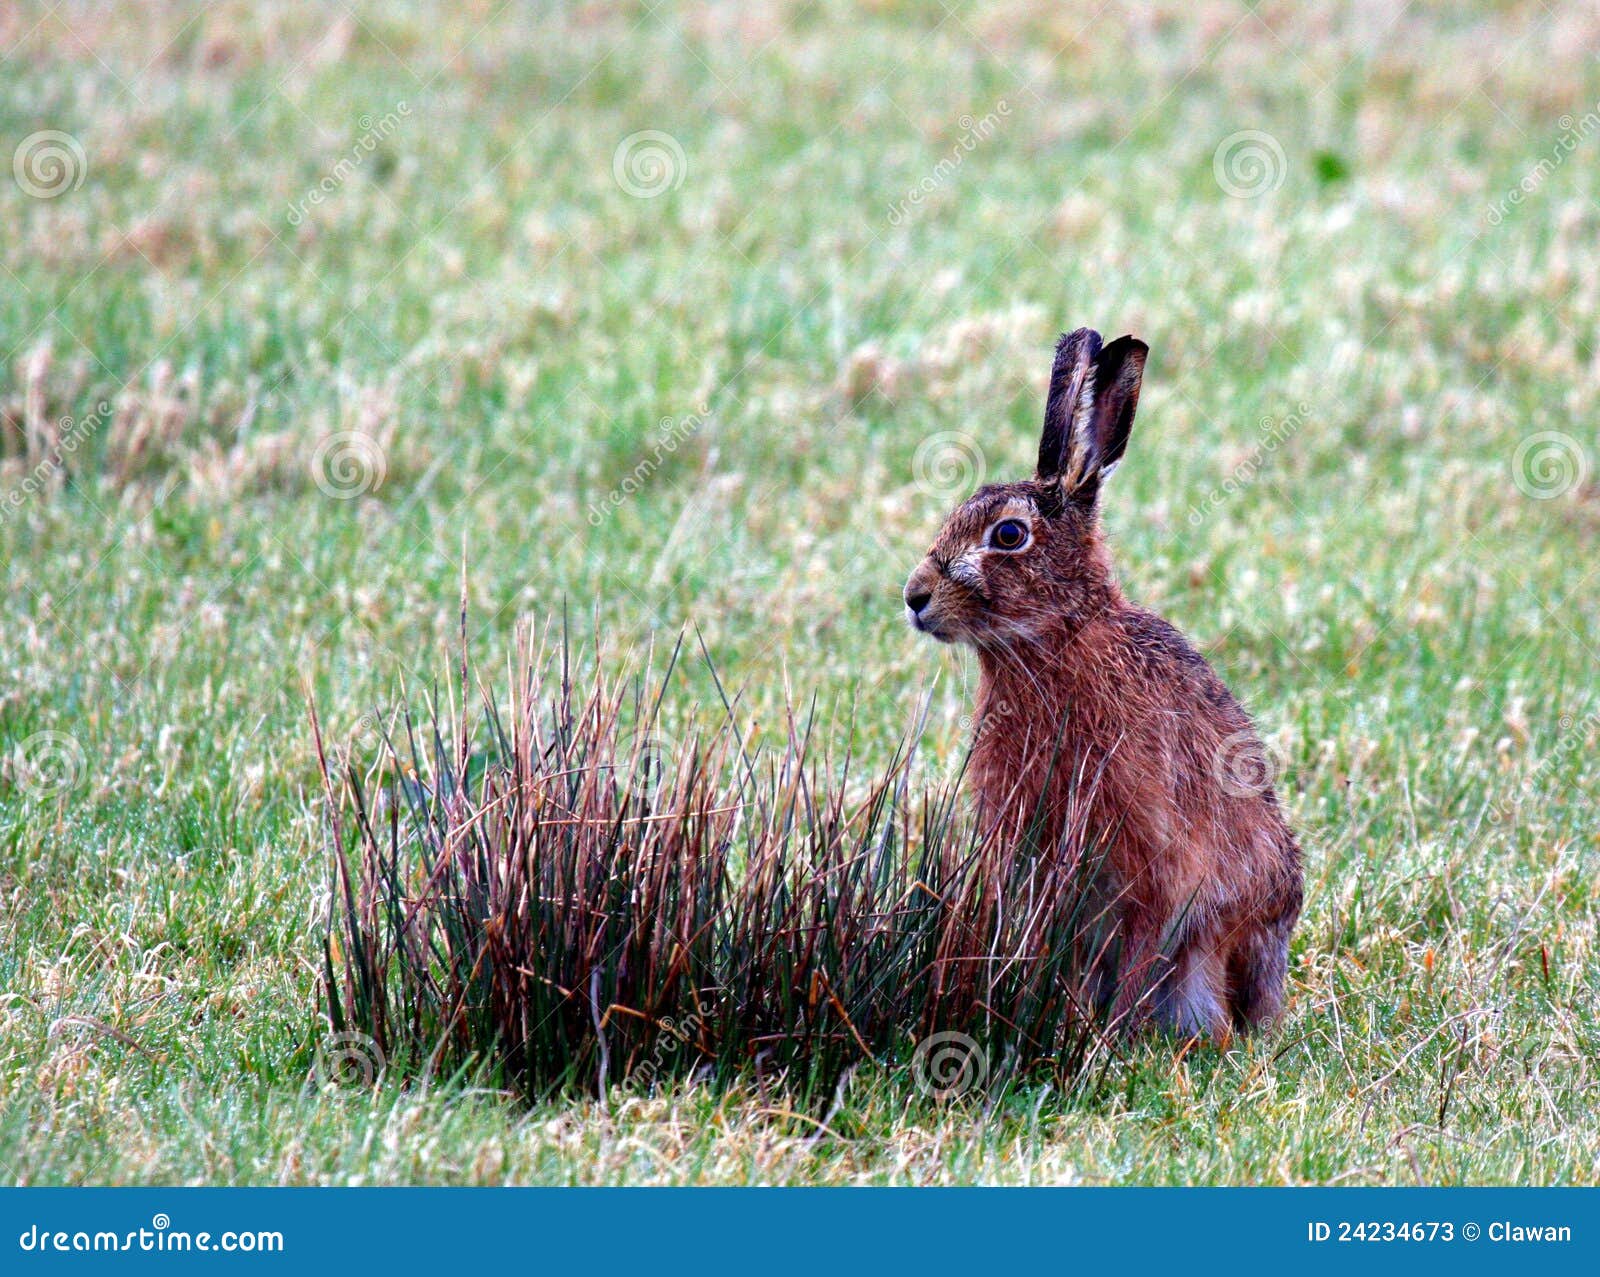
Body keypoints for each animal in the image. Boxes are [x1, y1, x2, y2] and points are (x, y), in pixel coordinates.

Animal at [902, 327, 1302, 1041]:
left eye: (1009, 534)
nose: (914, 597)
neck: (1059, 635)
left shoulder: (1157, 867)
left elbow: (1142, 943)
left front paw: (1106, 1038)